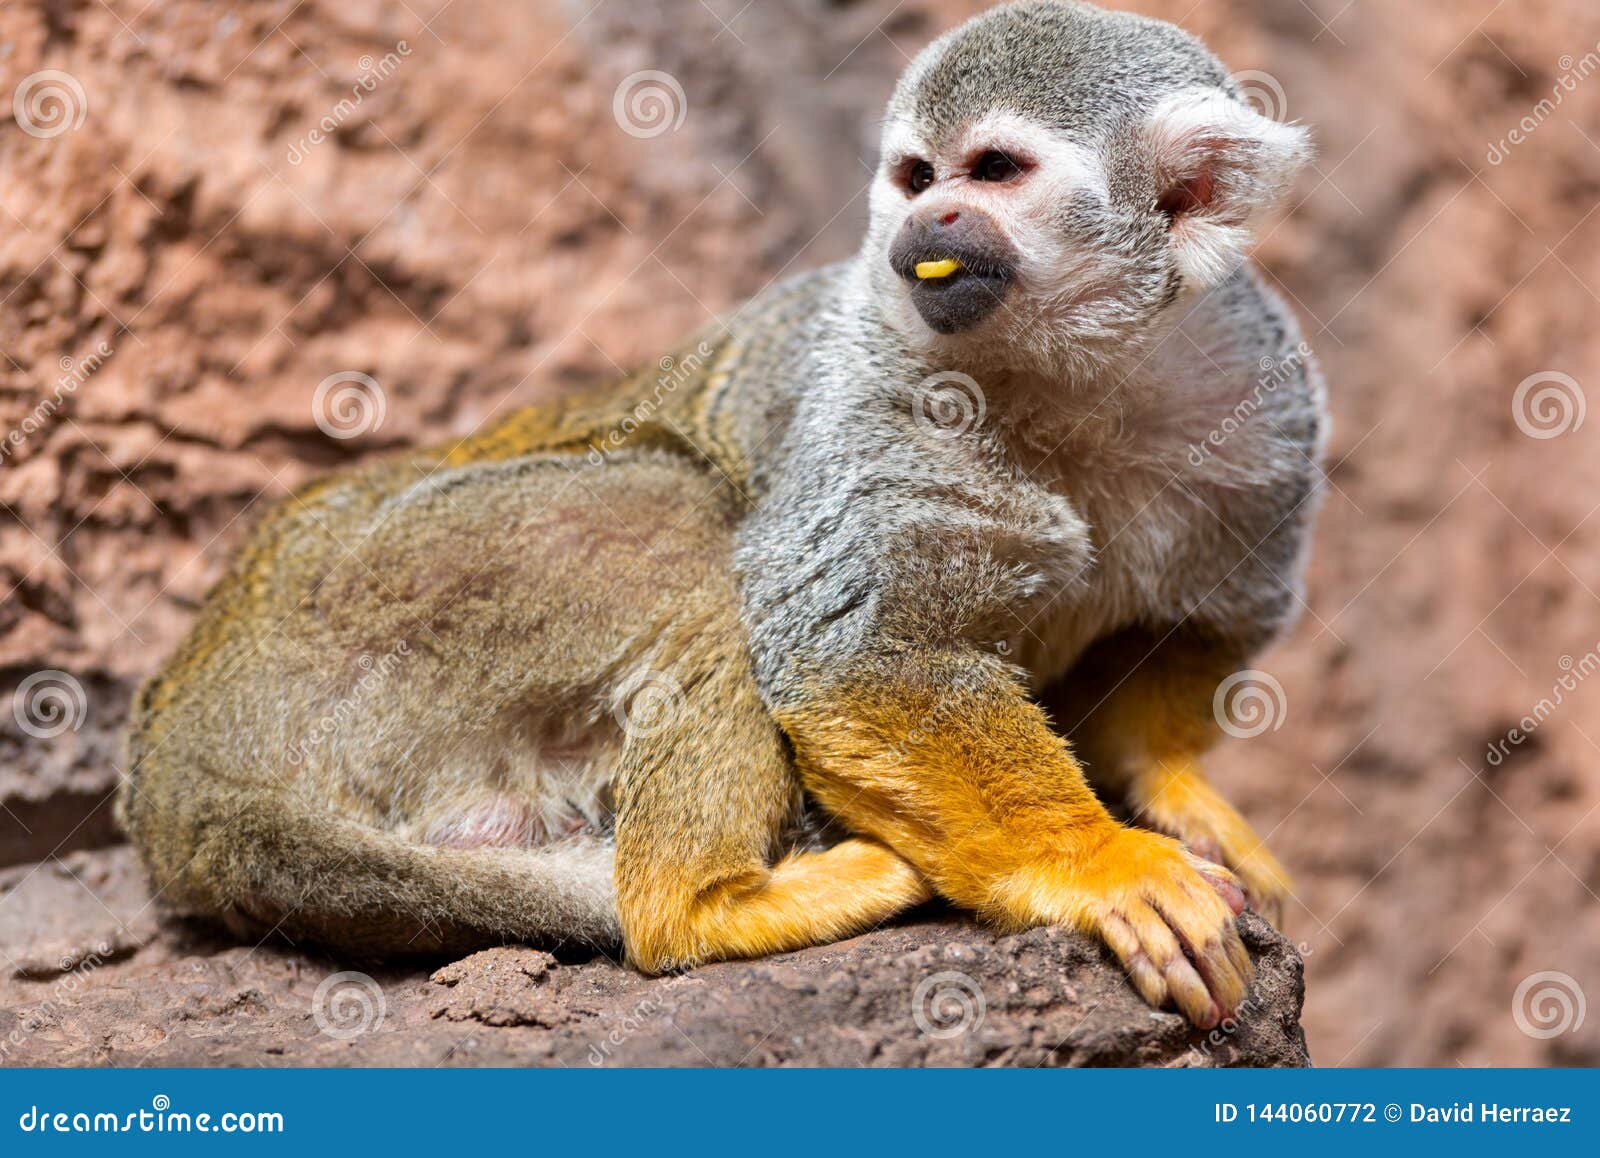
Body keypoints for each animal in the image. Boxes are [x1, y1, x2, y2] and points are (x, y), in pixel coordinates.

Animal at [118, 0, 1323, 1031]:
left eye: (994, 171)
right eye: (914, 175)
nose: (925, 221)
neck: (1081, 371)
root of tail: (191, 745)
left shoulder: (1264, 401)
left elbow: (1192, 623)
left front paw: (1168, 787)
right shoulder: (886, 386)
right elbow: (856, 657)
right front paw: (1099, 866)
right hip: (383, 597)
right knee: (690, 525)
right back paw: (701, 908)